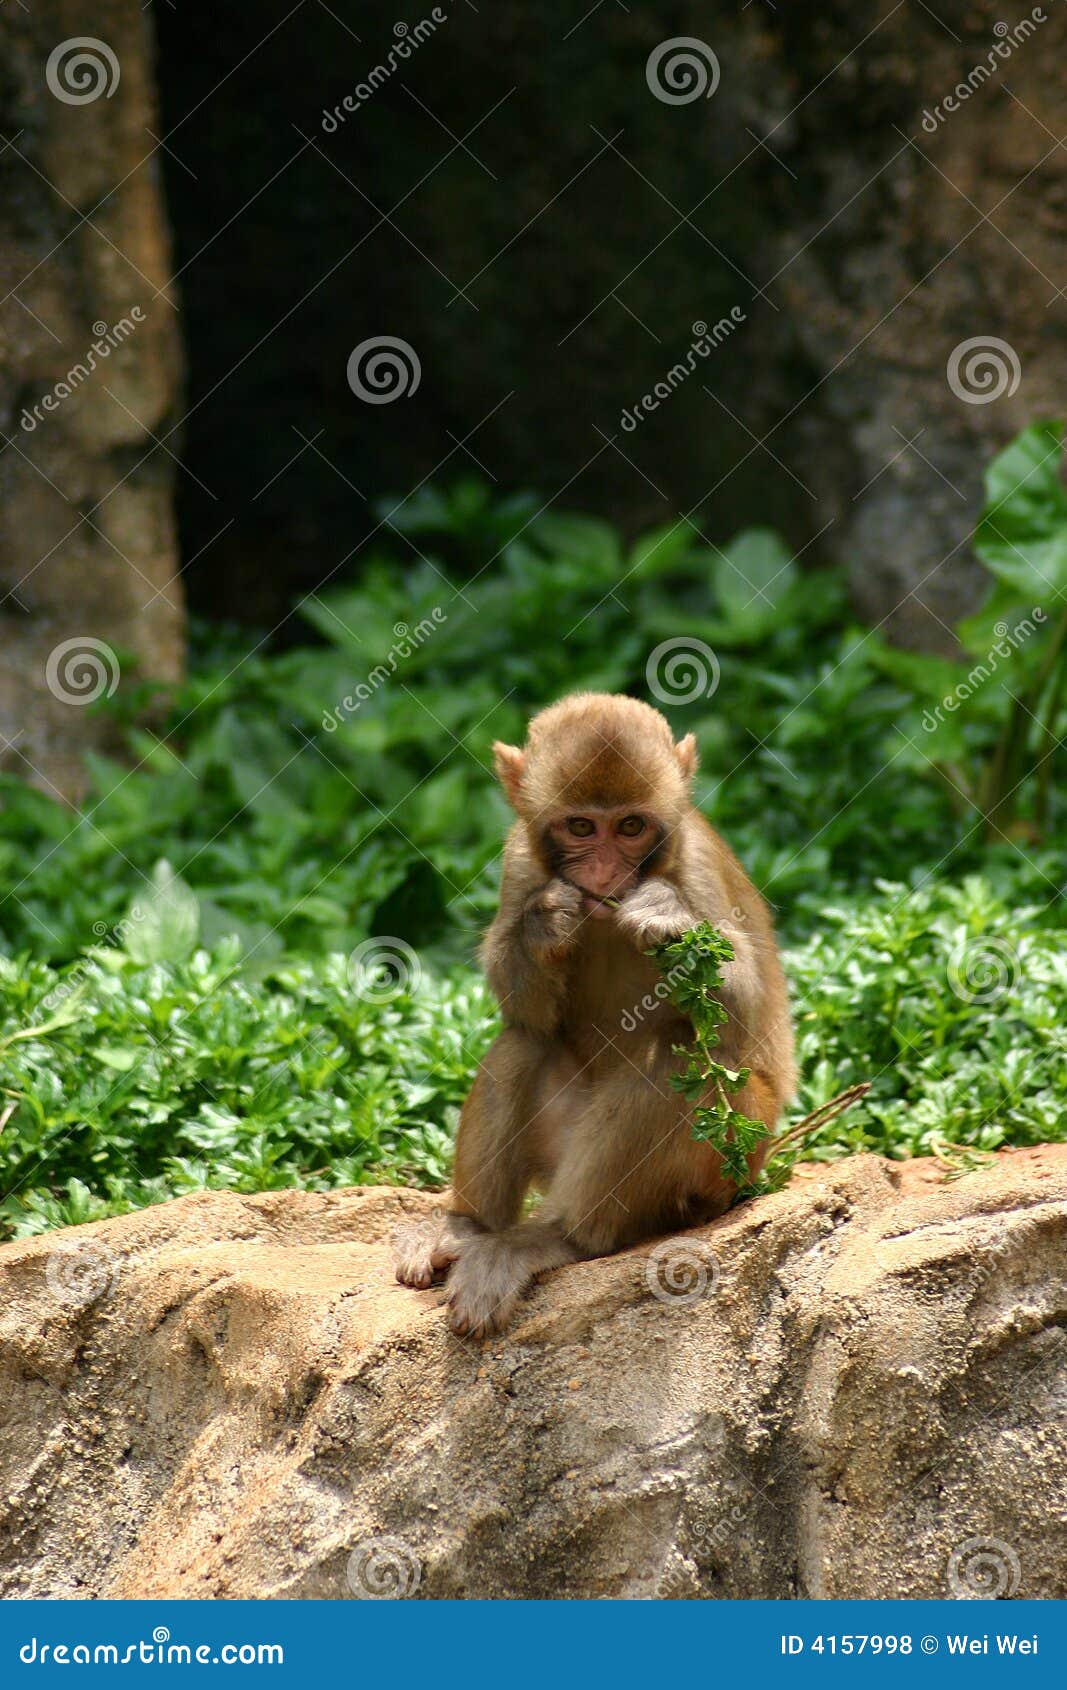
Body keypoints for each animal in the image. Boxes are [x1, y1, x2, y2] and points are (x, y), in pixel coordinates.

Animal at [393, 691, 796, 1338]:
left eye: (630, 826)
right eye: (582, 826)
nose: (606, 874)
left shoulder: (698, 866)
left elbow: (743, 1016)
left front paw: (666, 917)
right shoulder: (519, 858)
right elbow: (523, 1003)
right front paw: (544, 923)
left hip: (728, 1159)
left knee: (679, 1057)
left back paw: (558, 1239)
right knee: (524, 1040)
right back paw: (470, 1228)